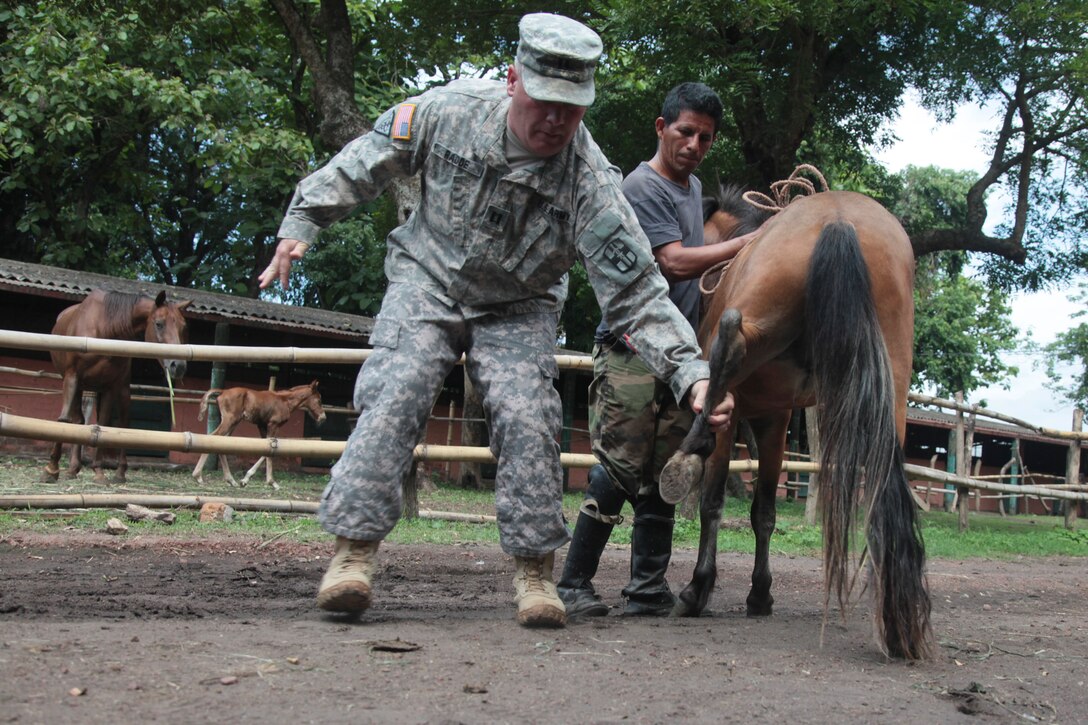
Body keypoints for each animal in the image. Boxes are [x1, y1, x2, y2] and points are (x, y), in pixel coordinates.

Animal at [43, 289, 191, 484]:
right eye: (159, 324)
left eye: (183, 327)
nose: (179, 366)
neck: (105, 329)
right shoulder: (71, 378)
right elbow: (63, 420)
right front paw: (51, 469)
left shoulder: (111, 387)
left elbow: (105, 425)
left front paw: (100, 471)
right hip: (79, 386)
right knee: (78, 421)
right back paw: (72, 468)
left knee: (109, 423)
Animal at [192, 380, 326, 489]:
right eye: (319, 400)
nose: (323, 417)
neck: (285, 401)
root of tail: (223, 391)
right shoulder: (273, 424)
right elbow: (269, 453)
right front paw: (271, 482)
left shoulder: (262, 426)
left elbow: (265, 450)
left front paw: (245, 480)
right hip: (230, 420)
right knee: (214, 437)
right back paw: (198, 476)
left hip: (234, 422)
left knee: (221, 442)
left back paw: (230, 480)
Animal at [659, 185, 932, 660]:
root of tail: (838, 217)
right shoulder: (777, 419)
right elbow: (765, 512)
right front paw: (760, 593)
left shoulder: (742, 417)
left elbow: (715, 503)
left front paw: (700, 587)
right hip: (892, 377)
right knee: (883, 487)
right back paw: (896, 620)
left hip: (758, 319)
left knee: (730, 339)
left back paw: (688, 453)